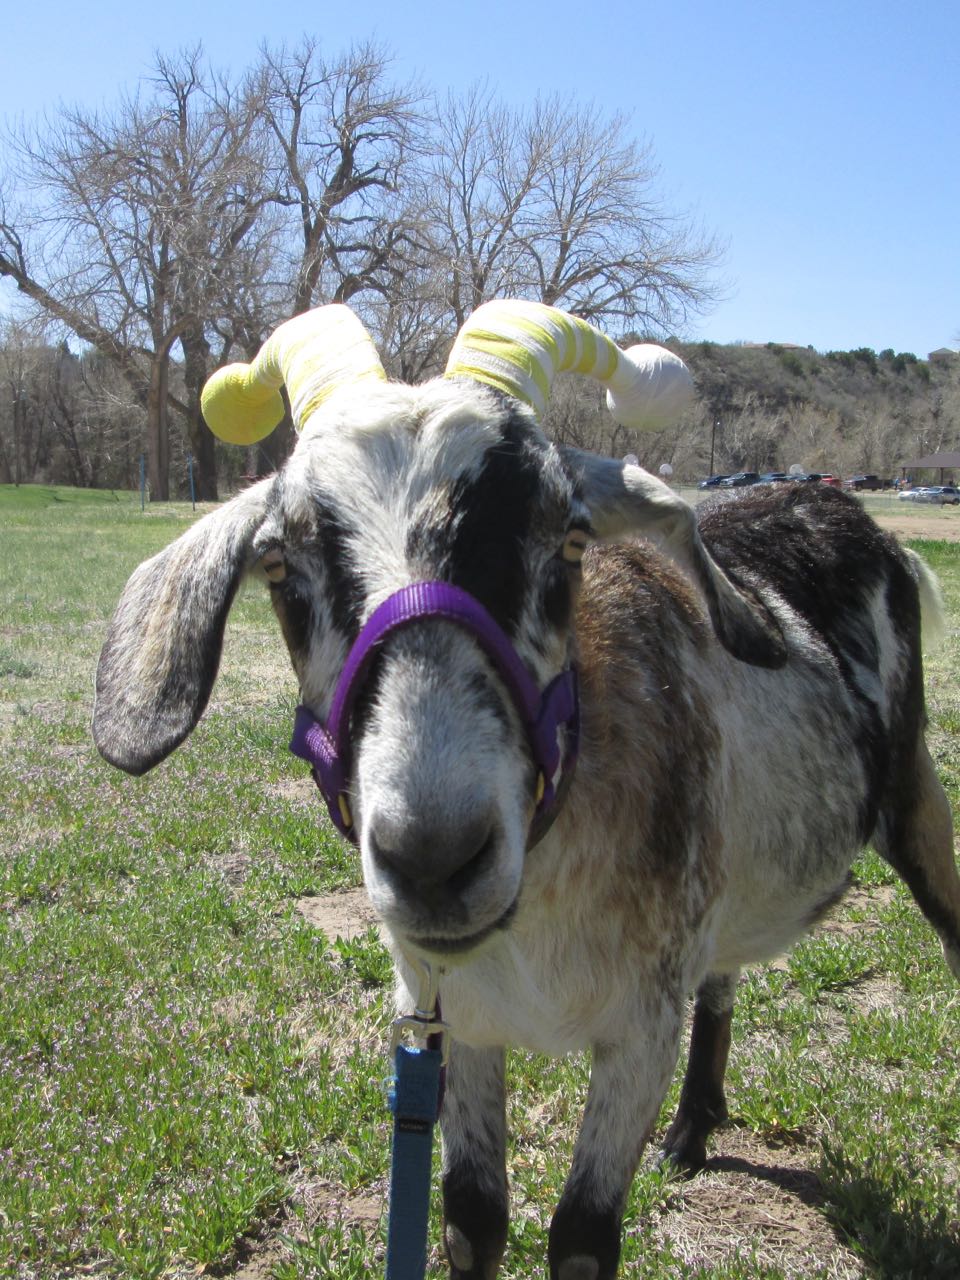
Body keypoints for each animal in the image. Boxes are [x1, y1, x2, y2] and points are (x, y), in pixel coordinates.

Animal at [93, 302, 960, 1280]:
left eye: (570, 537)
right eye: (280, 565)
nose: (434, 858)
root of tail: (844, 510)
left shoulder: (640, 1031)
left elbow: (581, 1234)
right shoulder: (456, 1021)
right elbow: (474, 1215)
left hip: (918, 801)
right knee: (725, 978)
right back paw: (694, 1131)